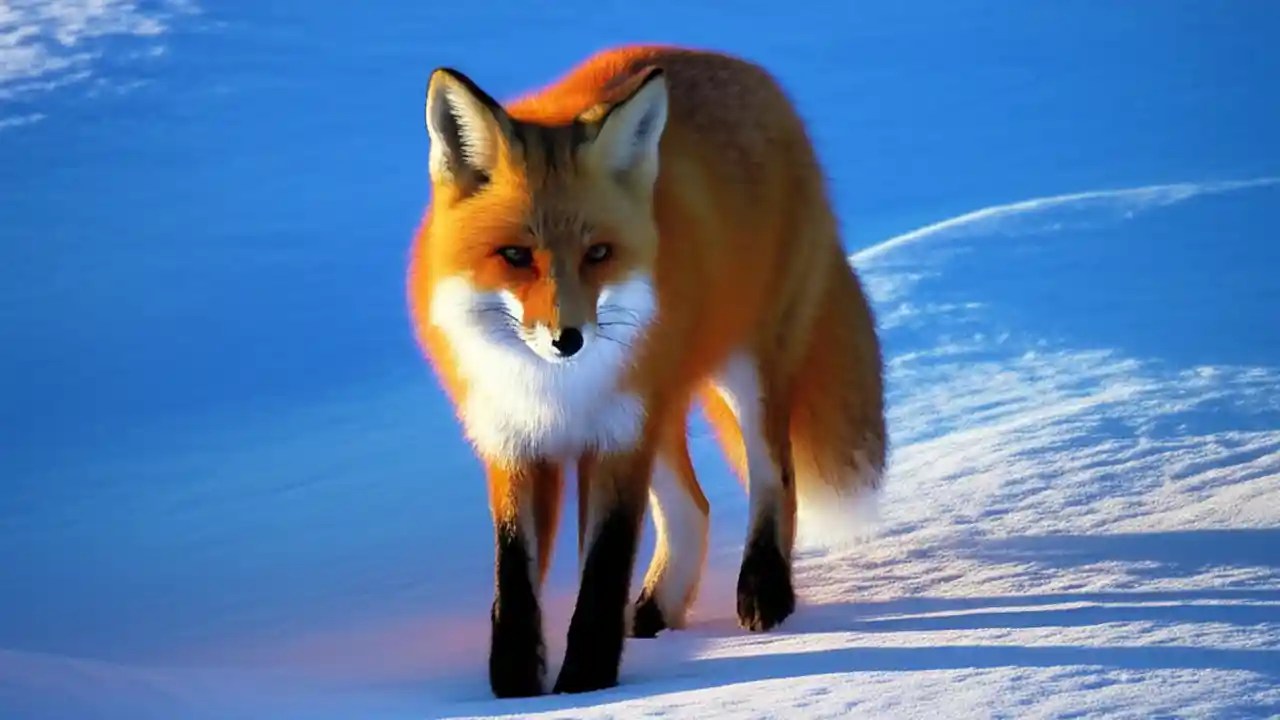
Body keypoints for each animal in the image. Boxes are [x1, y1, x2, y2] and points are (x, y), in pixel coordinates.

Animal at [407, 45, 885, 697]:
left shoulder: (615, 436)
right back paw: (661, 608)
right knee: (695, 511)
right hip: (658, 414)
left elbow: (602, 574)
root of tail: (750, 71)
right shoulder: (515, 441)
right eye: (515, 256)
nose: (567, 340)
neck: (557, 392)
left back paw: (766, 590)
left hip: (741, 376)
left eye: (598, 255)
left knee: (775, 480)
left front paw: (584, 684)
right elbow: (515, 584)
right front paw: (515, 691)